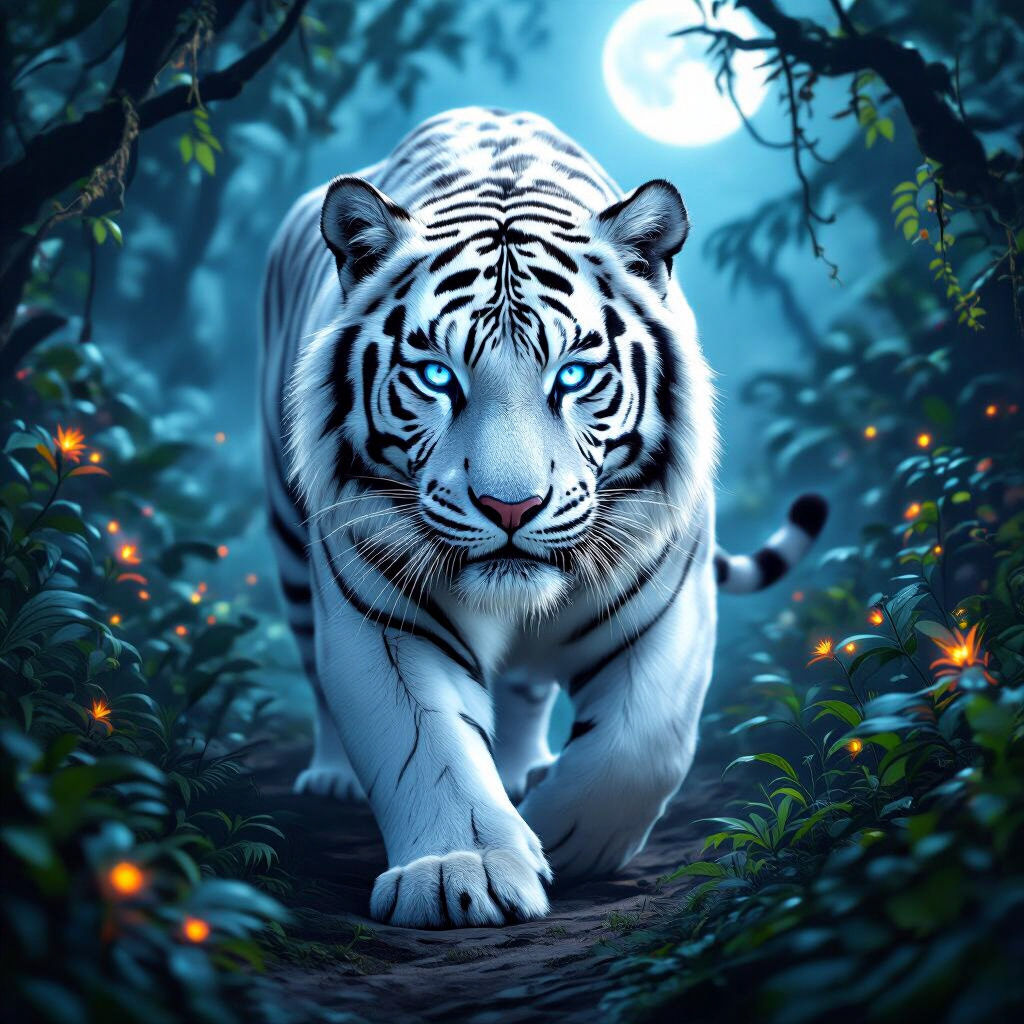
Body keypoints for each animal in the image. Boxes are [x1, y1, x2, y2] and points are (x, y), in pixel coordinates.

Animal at [259, 107, 827, 929]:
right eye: (437, 376)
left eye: (575, 375)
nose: (510, 506)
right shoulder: (384, 610)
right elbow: (426, 746)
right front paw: (459, 873)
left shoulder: (670, 604)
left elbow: (638, 746)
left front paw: (564, 841)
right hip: (287, 531)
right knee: (314, 664)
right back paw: (334, 776)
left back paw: (527, 772)